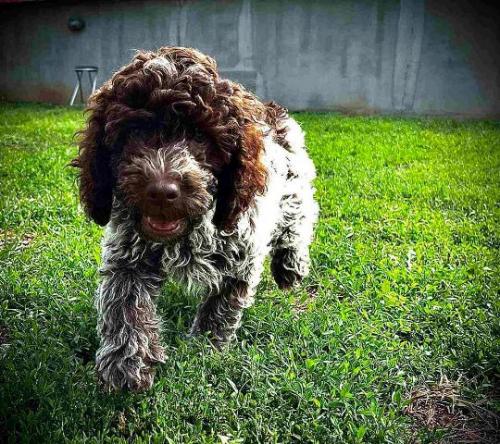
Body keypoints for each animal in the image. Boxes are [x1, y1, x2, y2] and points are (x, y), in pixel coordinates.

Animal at [72, 46, 318, 390]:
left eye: (201, 138)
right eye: (133, 132)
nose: (162, 192)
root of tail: (273, 113)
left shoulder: (241, 257)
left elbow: (221, 307)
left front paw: (204, 348)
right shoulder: (128, 256)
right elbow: (124, 304)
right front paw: (126, 362)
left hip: (294, 190)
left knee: (299, 222)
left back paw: (291, 266)